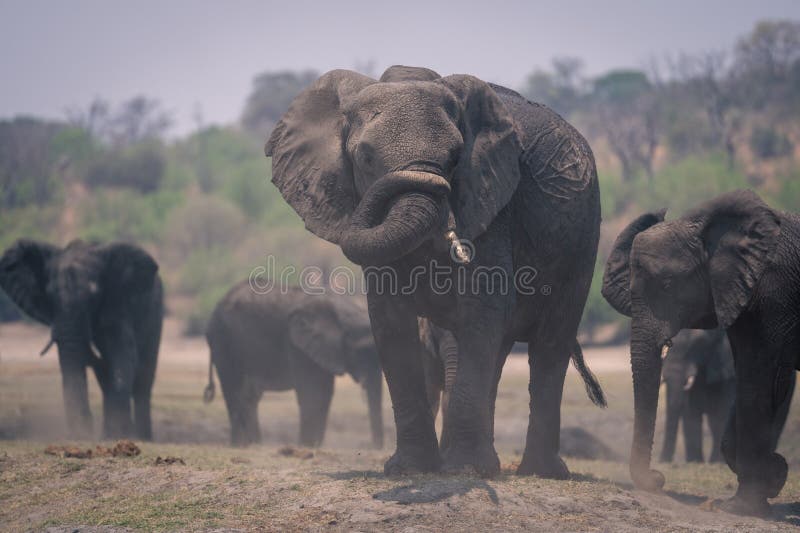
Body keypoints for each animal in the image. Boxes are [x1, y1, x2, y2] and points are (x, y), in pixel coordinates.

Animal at [0, 239, 162, 439]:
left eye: (94, 294)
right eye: (49, 295)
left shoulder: (118, 303)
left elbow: (123, 354)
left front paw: (118, 434)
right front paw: (83, 434)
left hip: (155, 314)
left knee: (143, 379)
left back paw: (141, 436)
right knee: (105, 377)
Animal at [203, 281, 383, 448]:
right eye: (361, 352)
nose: (373, 448)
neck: (347, 310)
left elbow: (325, 394)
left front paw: (313, 446)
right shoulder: (297, 346)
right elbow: (313, 394)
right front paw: (307, 446)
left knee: (249, 395)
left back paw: (254, 445)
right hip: (223, 339)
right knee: (235, 390)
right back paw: (241, 446)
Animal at [266, 65, 606, 477]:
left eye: (456, 157)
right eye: (364, 157)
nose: (427, 179)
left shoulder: (492, 201)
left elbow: (481, 308)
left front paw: (465, 471)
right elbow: (390, 319)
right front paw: (412, 469)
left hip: (583, 238)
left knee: (550, 342)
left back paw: (538, 472)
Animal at [659, 328, 736, 464]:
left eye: (699, 344)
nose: (662, 461)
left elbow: (721, 412)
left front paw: (717, 462)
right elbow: (690, 412)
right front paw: (695, 462)